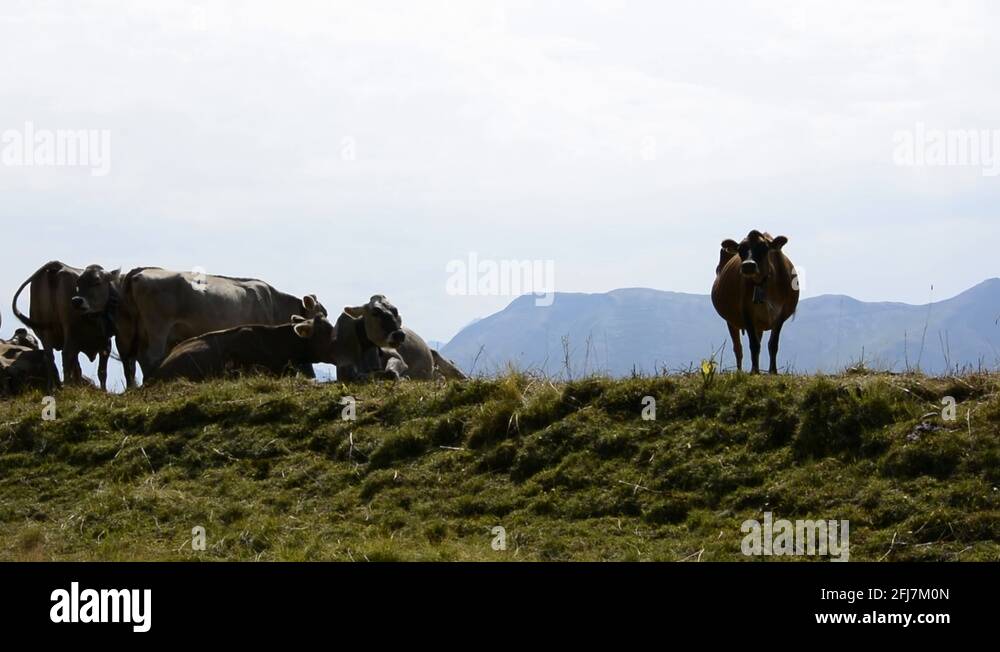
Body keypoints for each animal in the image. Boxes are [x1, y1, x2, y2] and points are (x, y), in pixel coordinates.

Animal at [11, 262, 116, 390]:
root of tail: (58, 266)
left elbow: (77, 367)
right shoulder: (105, 343)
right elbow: (101, 371)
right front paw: (103, 391)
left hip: (44, 331)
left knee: (49, 357)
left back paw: (52, 388)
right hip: (69, 329)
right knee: (66, 354)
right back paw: (67, 387)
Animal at [336, 295, 467, 381]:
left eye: (396, 311)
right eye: (375, 312)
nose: (399, 334)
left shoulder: (399, 359)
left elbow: (391, 372)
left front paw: (404, 378)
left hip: (446, 363)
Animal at [711, 230, 799, 374]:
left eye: (764, 248)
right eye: (740, 249)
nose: (748, 265)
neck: (763, 283)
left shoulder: (781, 314)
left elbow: (773, 344)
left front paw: (773, 371)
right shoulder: (746, 312)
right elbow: (754, 345)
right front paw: (754, 371)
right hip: (731, 320)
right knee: (738, 348)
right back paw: (740, 371)